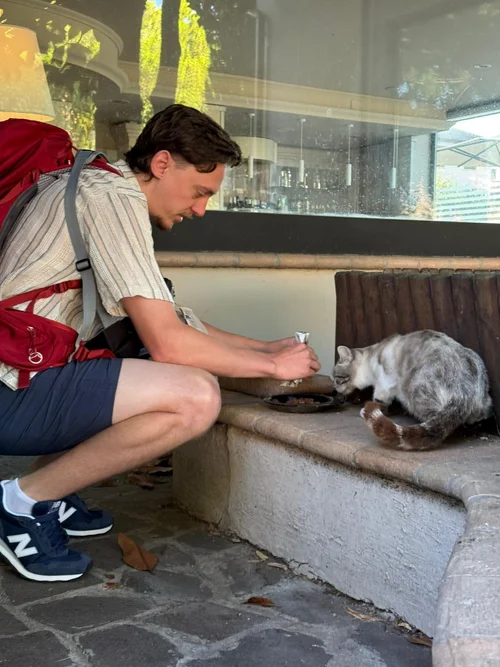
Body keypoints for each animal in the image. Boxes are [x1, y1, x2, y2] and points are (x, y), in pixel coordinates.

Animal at [332, 330, 492, 451]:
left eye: (337, 378)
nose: (335, 387)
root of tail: (464, 393)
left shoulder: (384, 380)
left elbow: (379, 399)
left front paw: (366, 410)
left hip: (413, 388)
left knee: (437, 423)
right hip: (483, 401)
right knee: (478, 418)